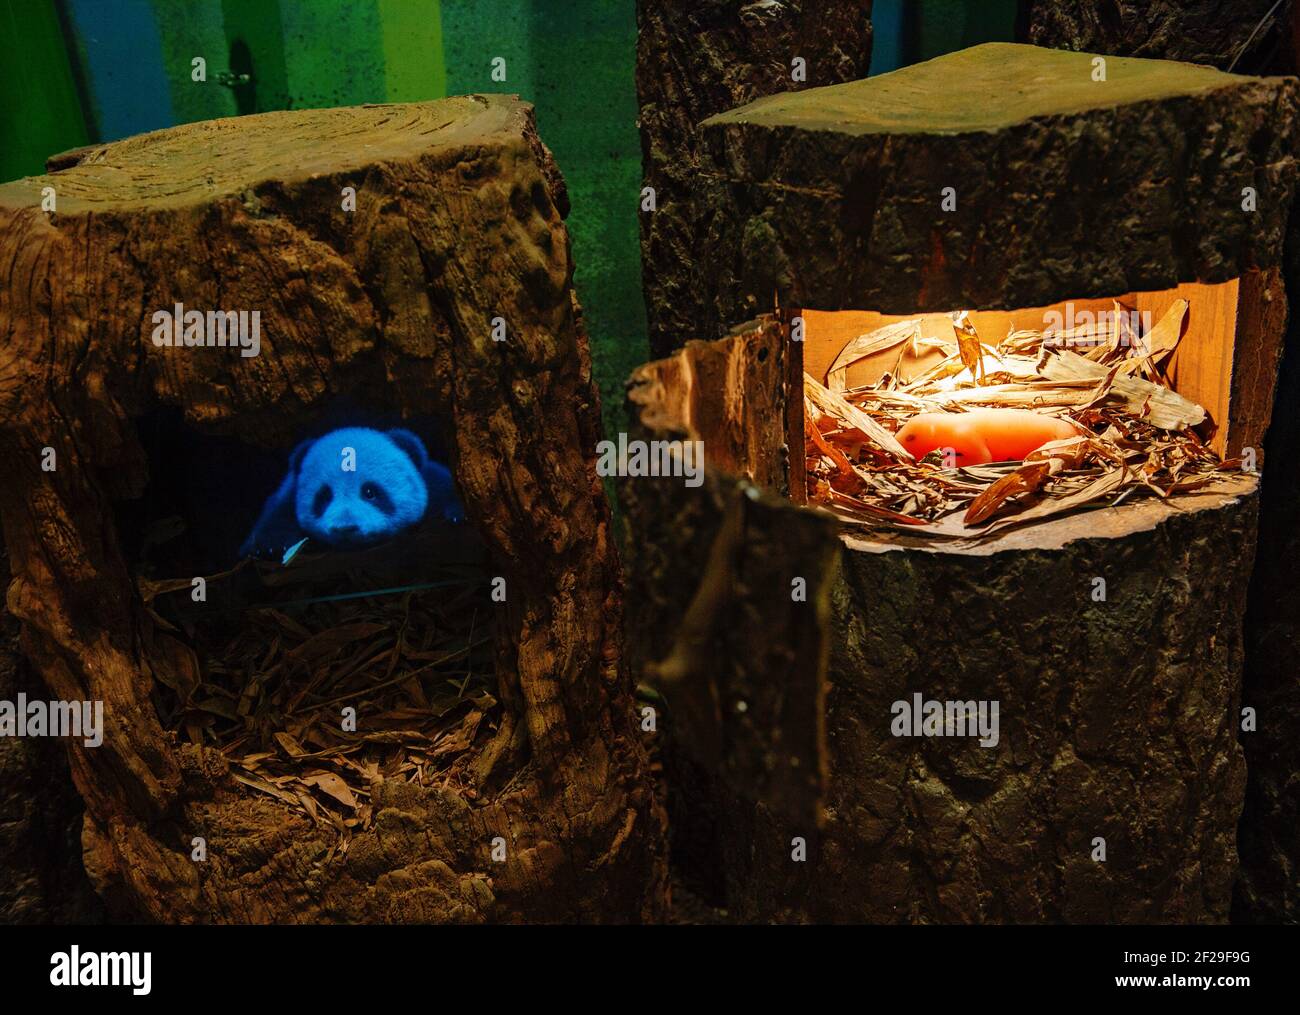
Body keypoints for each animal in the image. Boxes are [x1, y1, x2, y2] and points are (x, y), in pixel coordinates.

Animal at [239, 427, 463, 561]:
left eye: (370, 492)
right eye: (324, 496)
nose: (345, 528)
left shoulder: (431, 484)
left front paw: (458, 514)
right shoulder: (288, 494)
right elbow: (277, 516)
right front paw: (270, 546)